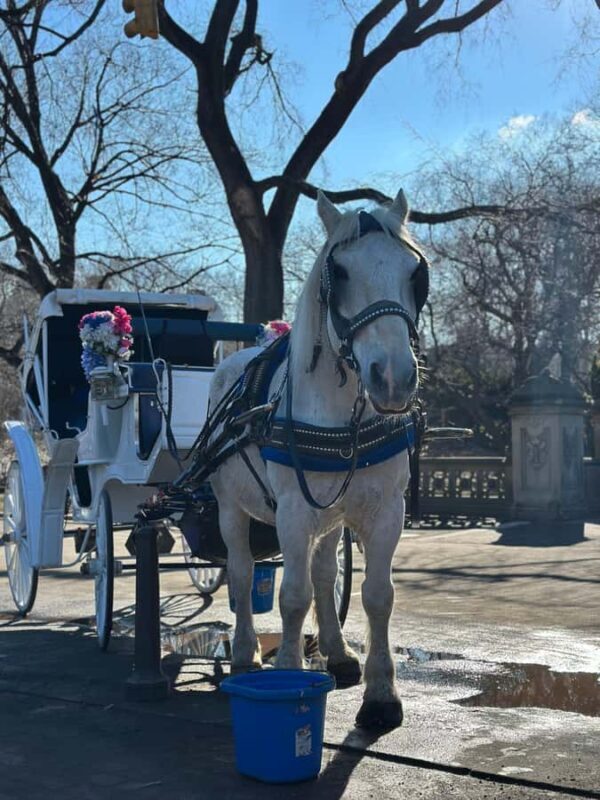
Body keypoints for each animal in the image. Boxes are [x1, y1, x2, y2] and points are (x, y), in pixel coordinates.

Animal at [209, 188, 427, 729]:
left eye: (414, 272)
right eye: (340, 272)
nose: (393, 378)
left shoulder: (386, 511)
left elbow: (376, 595)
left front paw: (381, 693)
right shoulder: (292, 510)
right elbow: (292, 595)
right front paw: (286, 671)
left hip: (331, 514)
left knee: (326, 572)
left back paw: (338, 651)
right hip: (230, 508)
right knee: (241, 572)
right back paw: (244, 652)